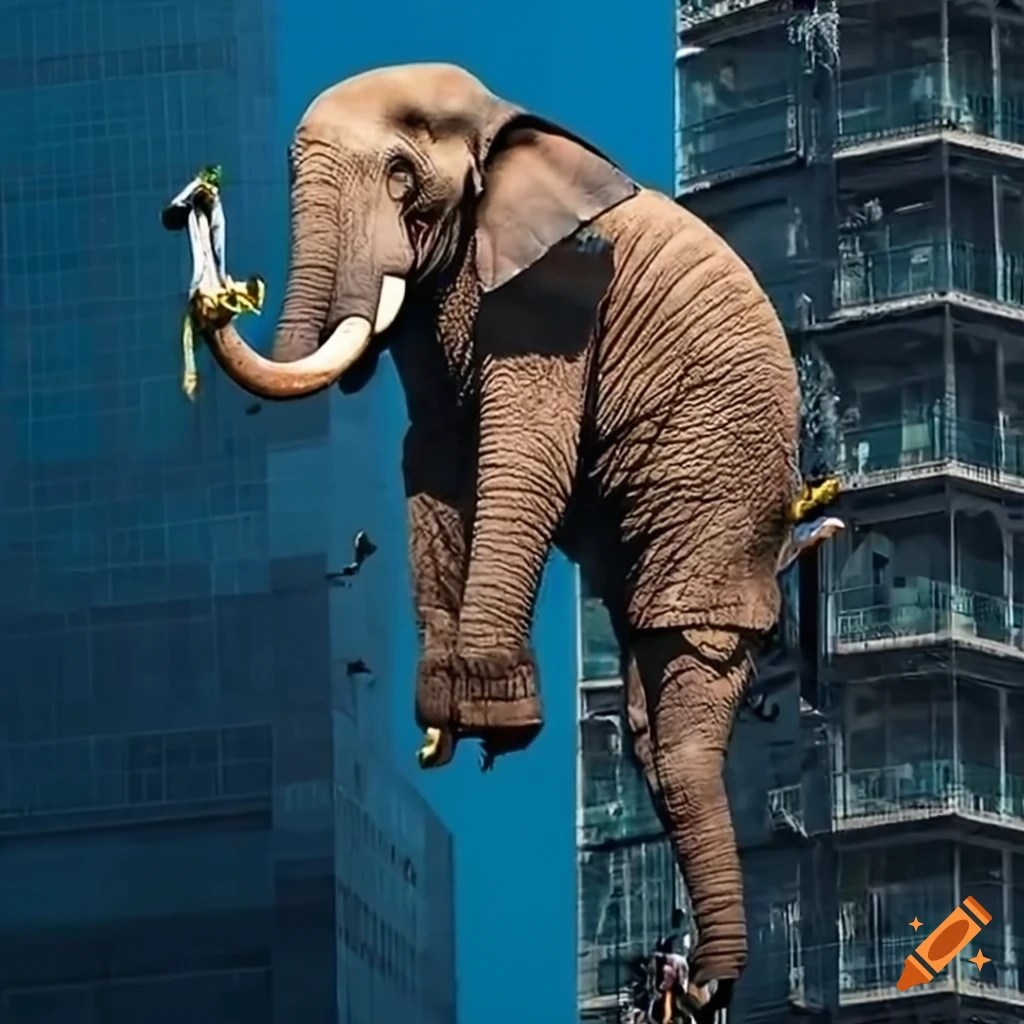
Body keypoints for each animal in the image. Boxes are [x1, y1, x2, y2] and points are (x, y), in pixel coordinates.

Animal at [179, 63, 801, 1012]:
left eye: (403, 178)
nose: (197, 219)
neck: (498, 121)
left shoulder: (557, 296)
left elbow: (519, 453)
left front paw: (489, 719)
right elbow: (432, 455)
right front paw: (446, 727)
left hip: (725, 491)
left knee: (686, 674)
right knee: (652, 712)